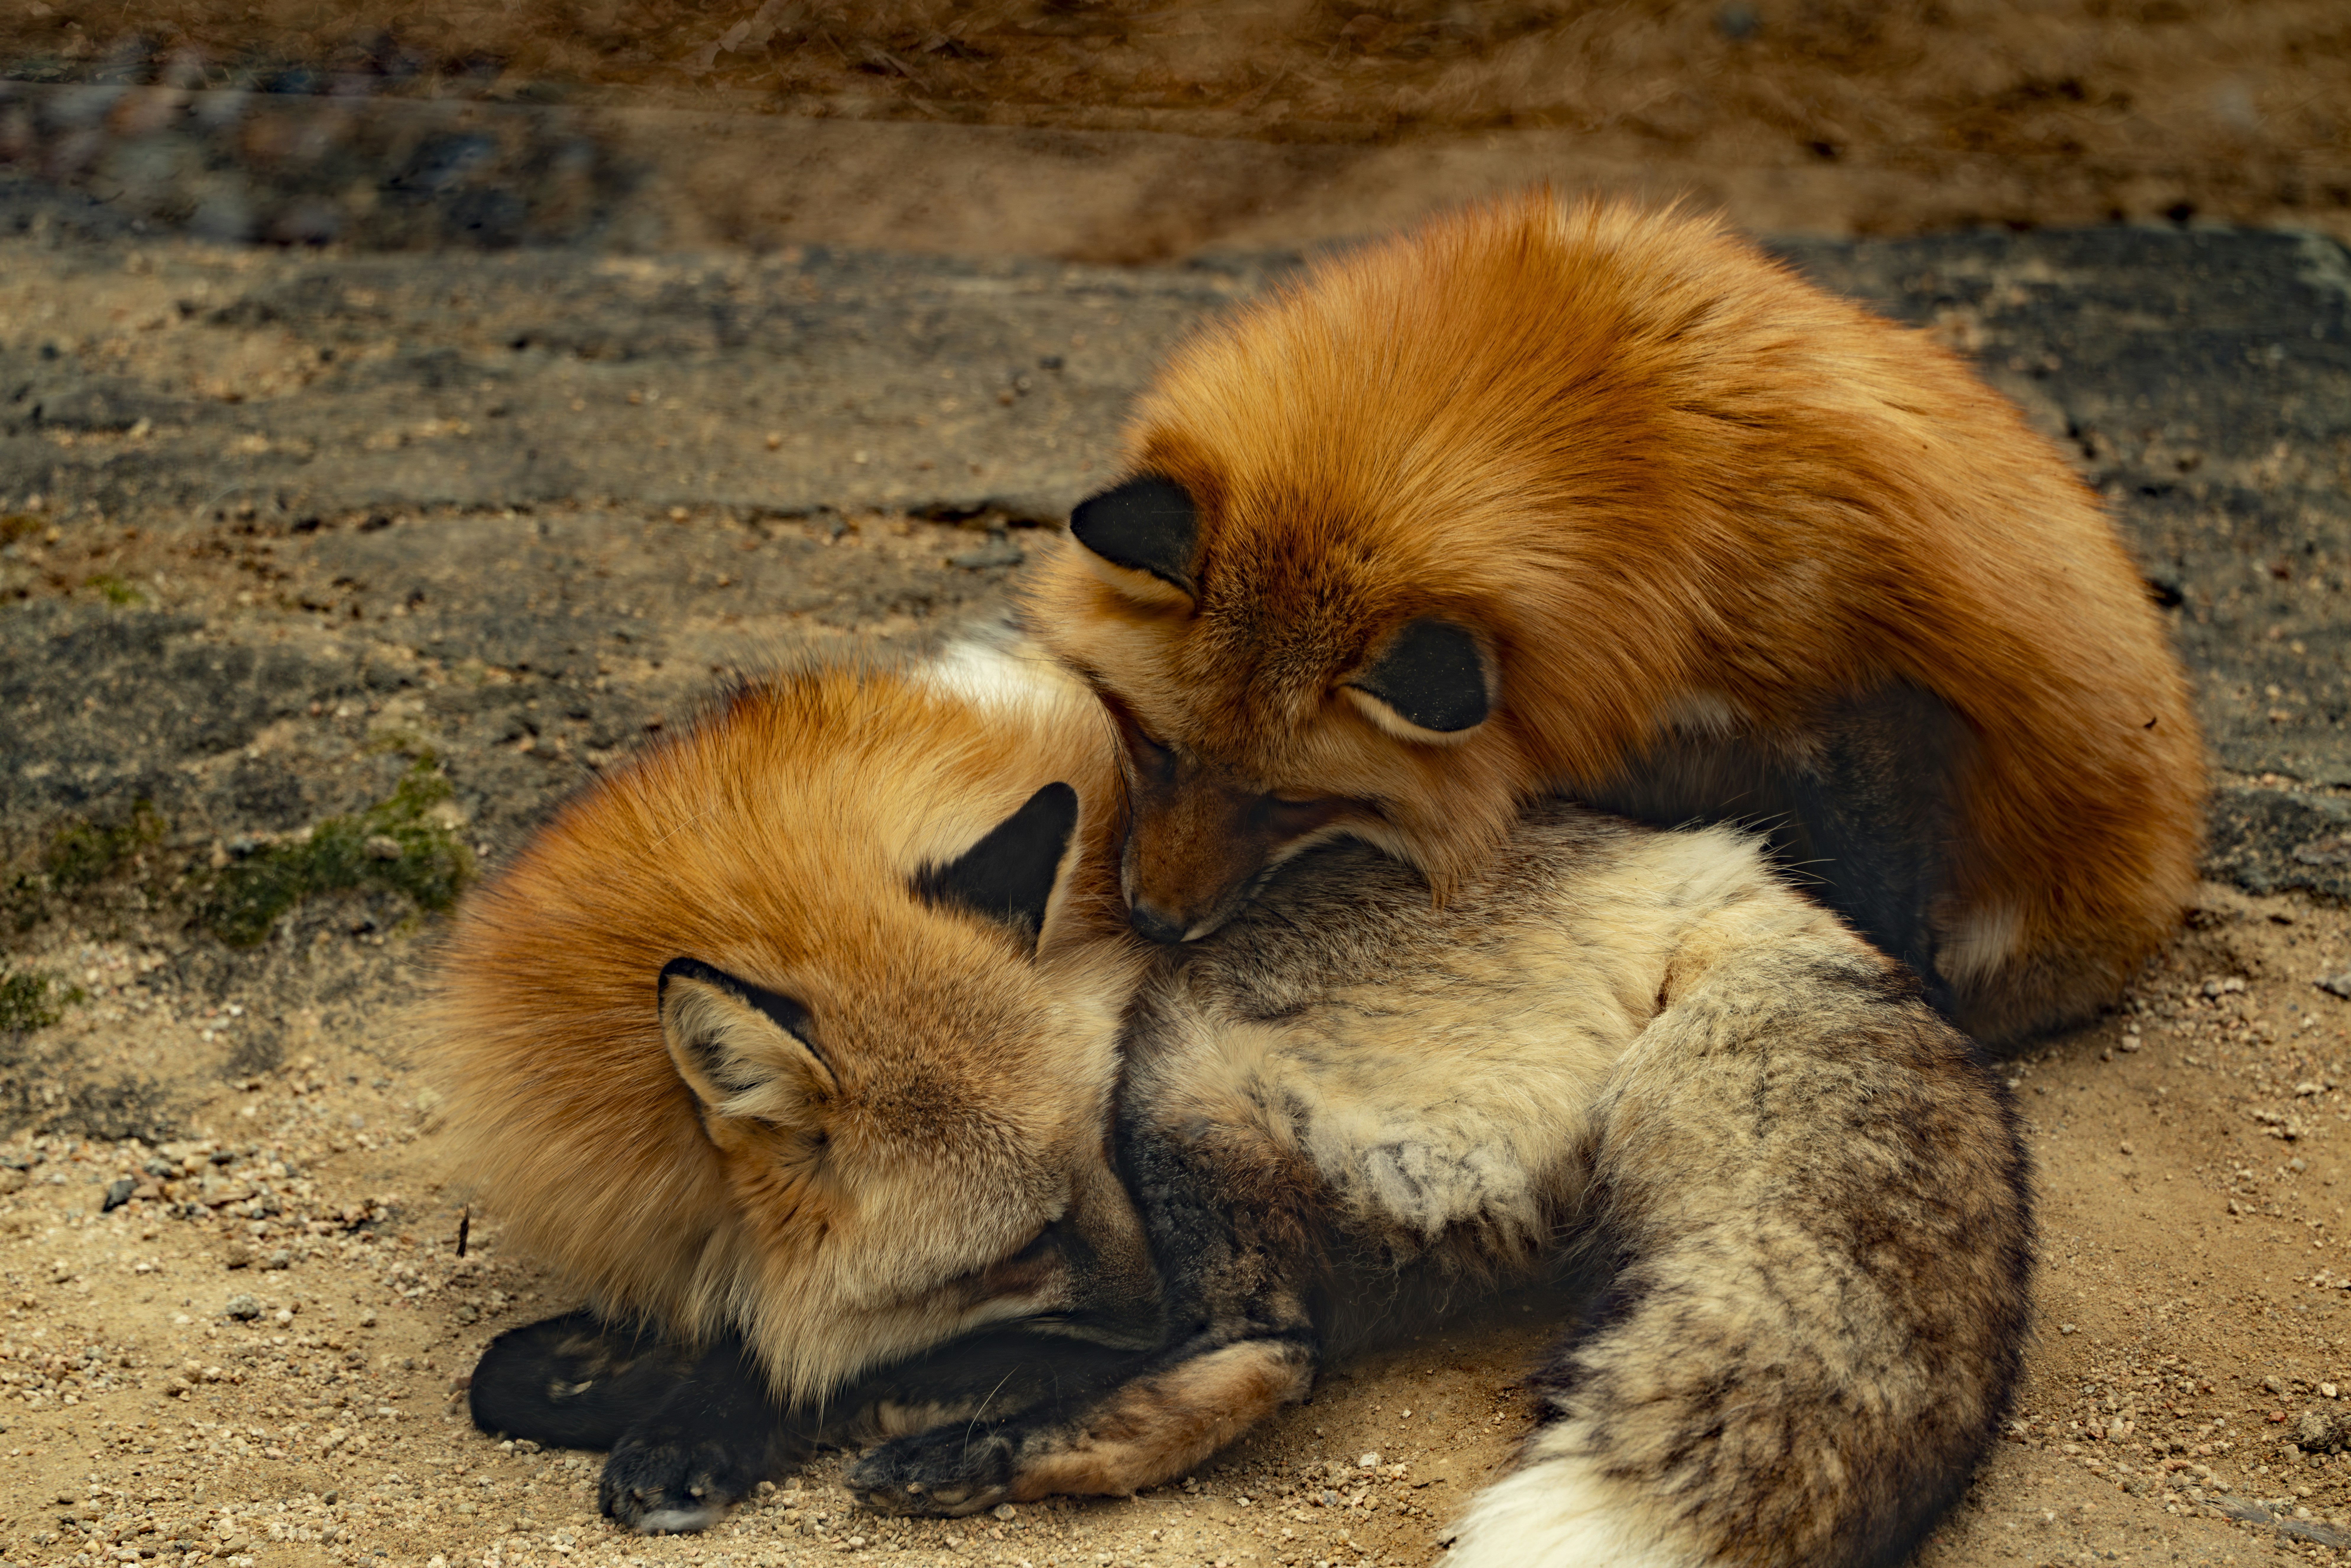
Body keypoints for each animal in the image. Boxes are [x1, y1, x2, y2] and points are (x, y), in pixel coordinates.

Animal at [440, 644, 2033, 1566]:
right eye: (1023, 1236)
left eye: (1083, 1182)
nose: (1132, 1290)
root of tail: (1713, 872)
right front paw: (652, 1377)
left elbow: (784, 1349)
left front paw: (708, 1412)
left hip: (1187, 1057)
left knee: (1263, 1351)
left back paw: (967, 1451)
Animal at [1021, 189, 2204, 1048]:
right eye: (1154, 746)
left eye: (1291, 801)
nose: (1155, 920)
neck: (1642, 451)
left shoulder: (1865, 696)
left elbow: (1885, 914)